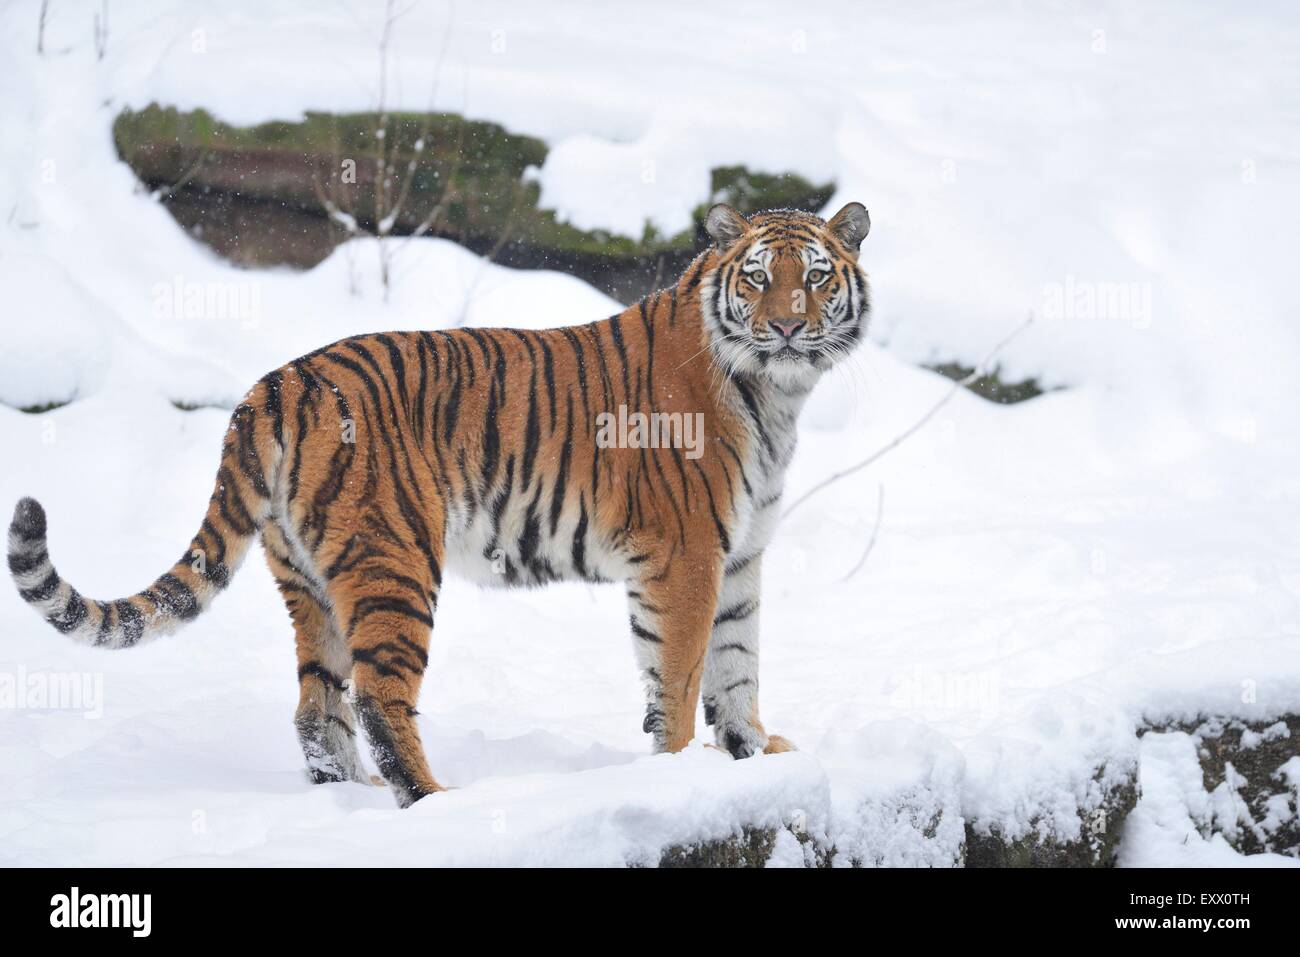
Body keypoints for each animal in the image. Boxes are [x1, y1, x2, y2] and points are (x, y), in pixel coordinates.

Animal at [7, 201, 871, 807]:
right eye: (757, 277)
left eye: (815, 277)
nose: (785, 326)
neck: (777, 395)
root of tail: (274, 384)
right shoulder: (685, 556)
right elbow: (684, 676)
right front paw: (683, 768)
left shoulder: (741, 552)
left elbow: (738, 662)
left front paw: (753, 752)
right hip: (394, 562)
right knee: (380, 701)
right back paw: (432, 801)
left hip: (306, 577)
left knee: (317, 707)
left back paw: (347, 799)